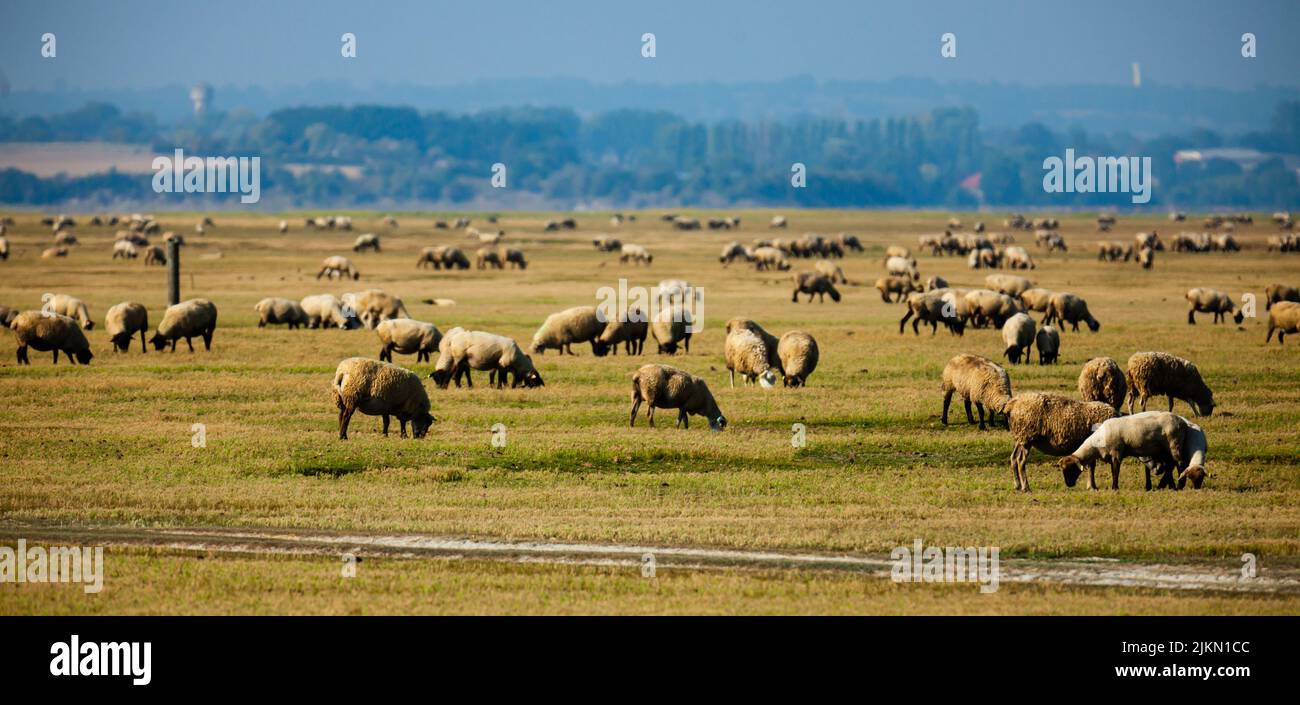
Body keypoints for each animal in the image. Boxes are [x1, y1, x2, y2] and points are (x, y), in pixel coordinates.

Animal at [1058, 411, 1202, 491]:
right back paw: (1169, 486)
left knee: (1180, 464)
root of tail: (1182, 422)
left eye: (1071, 469)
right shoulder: (1111, 455)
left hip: (1174, 444)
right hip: (1164, 448)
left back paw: (1179, 486)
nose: (1069, 484)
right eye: (1063, 470)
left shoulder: (1117, 452)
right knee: (1170, 464)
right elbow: (1113, 470)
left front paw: (1115, 488)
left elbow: (1115, 471)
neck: (1097, 444)